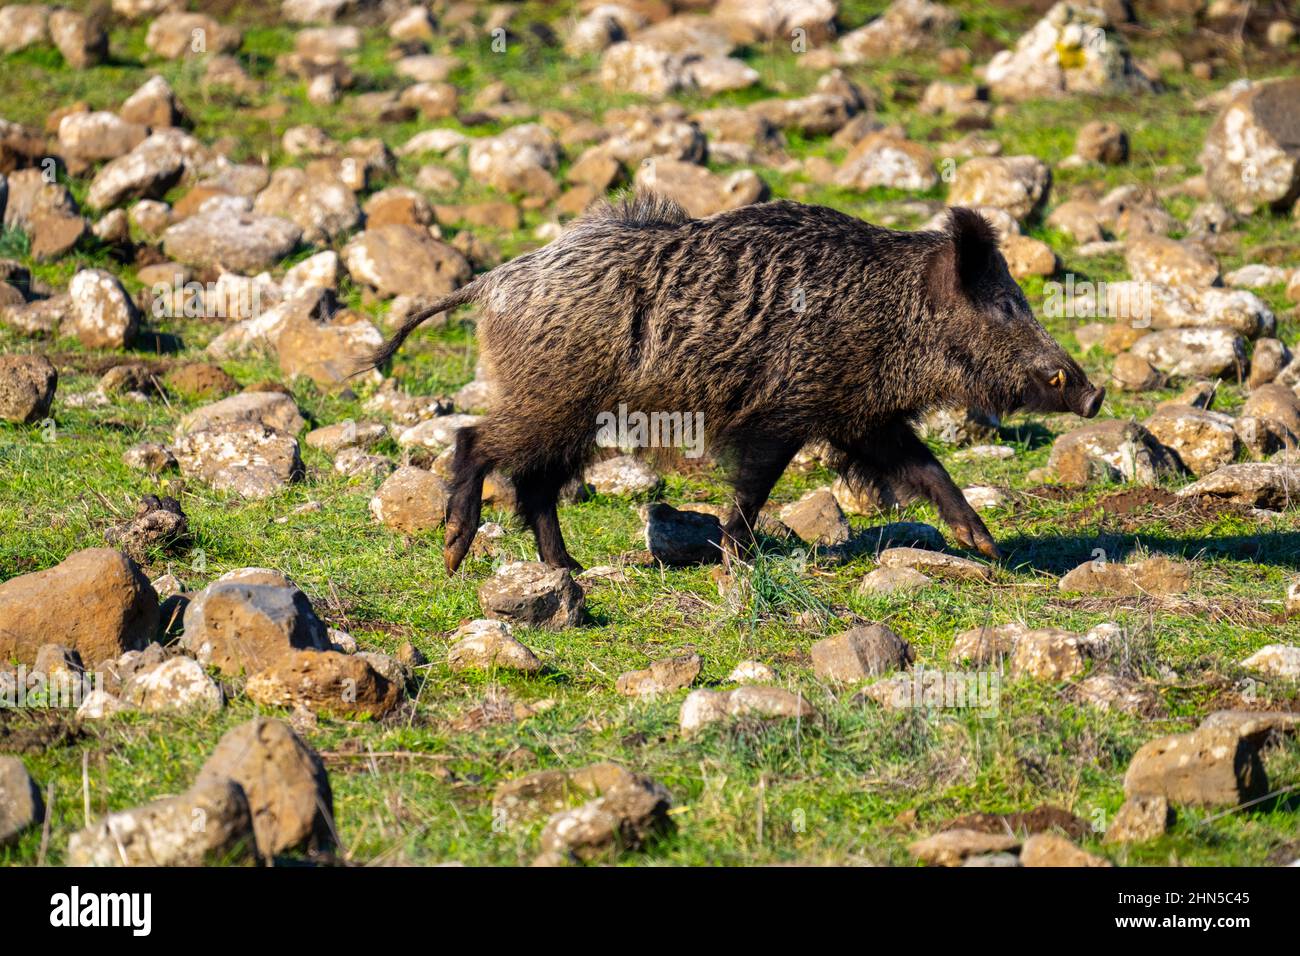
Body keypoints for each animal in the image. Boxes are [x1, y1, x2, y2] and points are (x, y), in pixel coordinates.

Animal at [364, 194, 1105, 573]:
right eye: (1004, 305)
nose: (1093, 393)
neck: (889, 312)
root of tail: (492, 282)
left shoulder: (858, 418)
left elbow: (927, 469)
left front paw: (985, 546)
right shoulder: (784, 413)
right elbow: (753, 490)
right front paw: (736, 561)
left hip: (575, 415)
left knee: (536, 484)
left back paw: (565, 570)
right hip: (552, 398)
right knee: (476, 440)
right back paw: (456, 553)